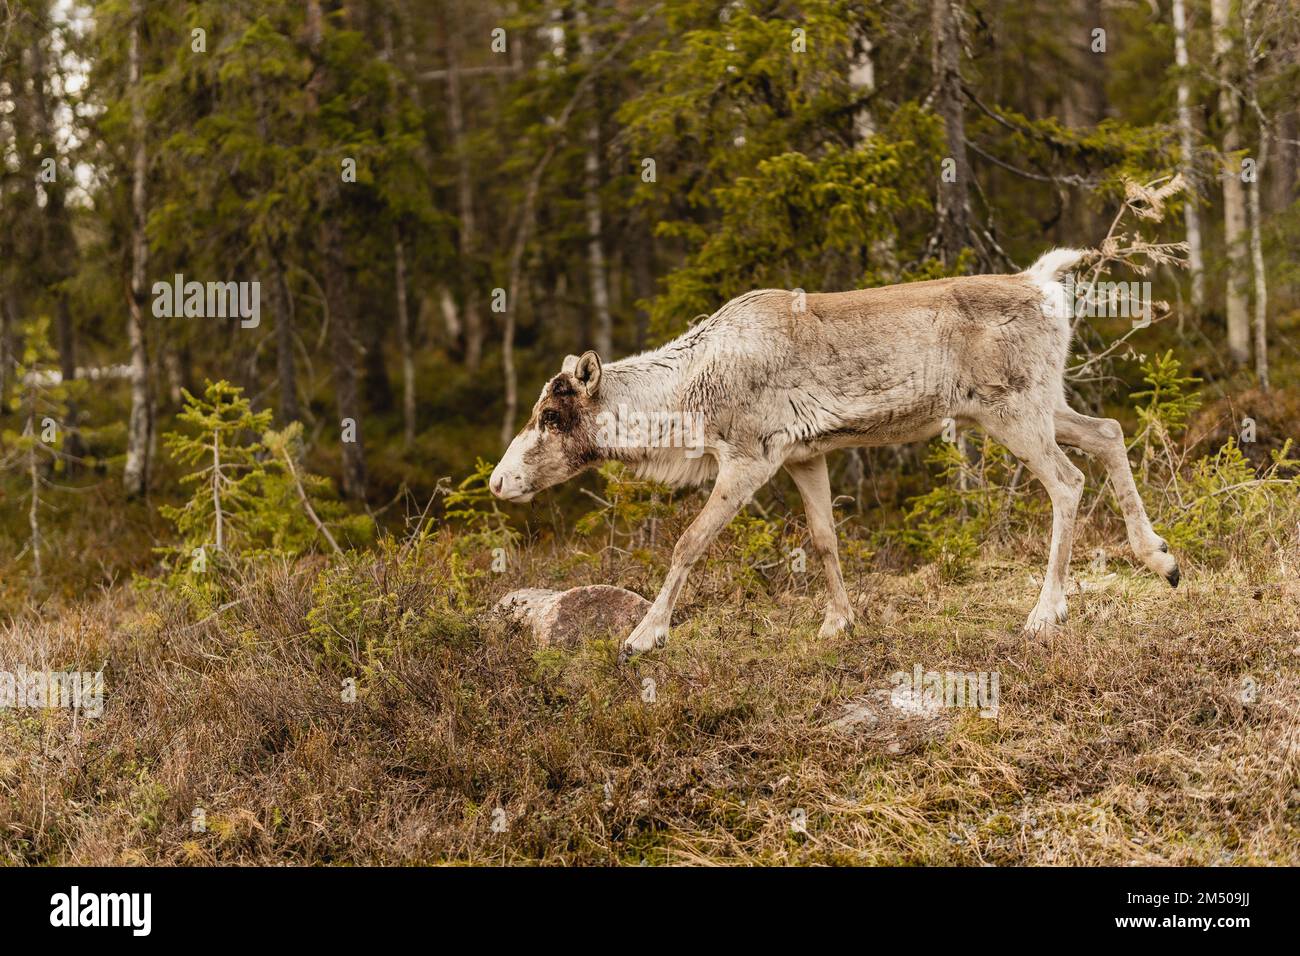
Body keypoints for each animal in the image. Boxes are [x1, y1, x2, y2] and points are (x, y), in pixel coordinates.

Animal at [490, 249, 1180, 662]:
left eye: (551, 416)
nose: (498, 481)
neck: (691, 393)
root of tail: (1042, 281)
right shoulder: (804, 456)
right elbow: (825, 539)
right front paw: (837, 623)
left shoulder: (750, 456)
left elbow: (689, 542)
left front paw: (642, 636)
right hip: (1038, 403)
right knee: (1108, 431)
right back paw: (1161, 559)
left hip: (1012, 411)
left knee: (1067, 482)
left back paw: (1044, 613)